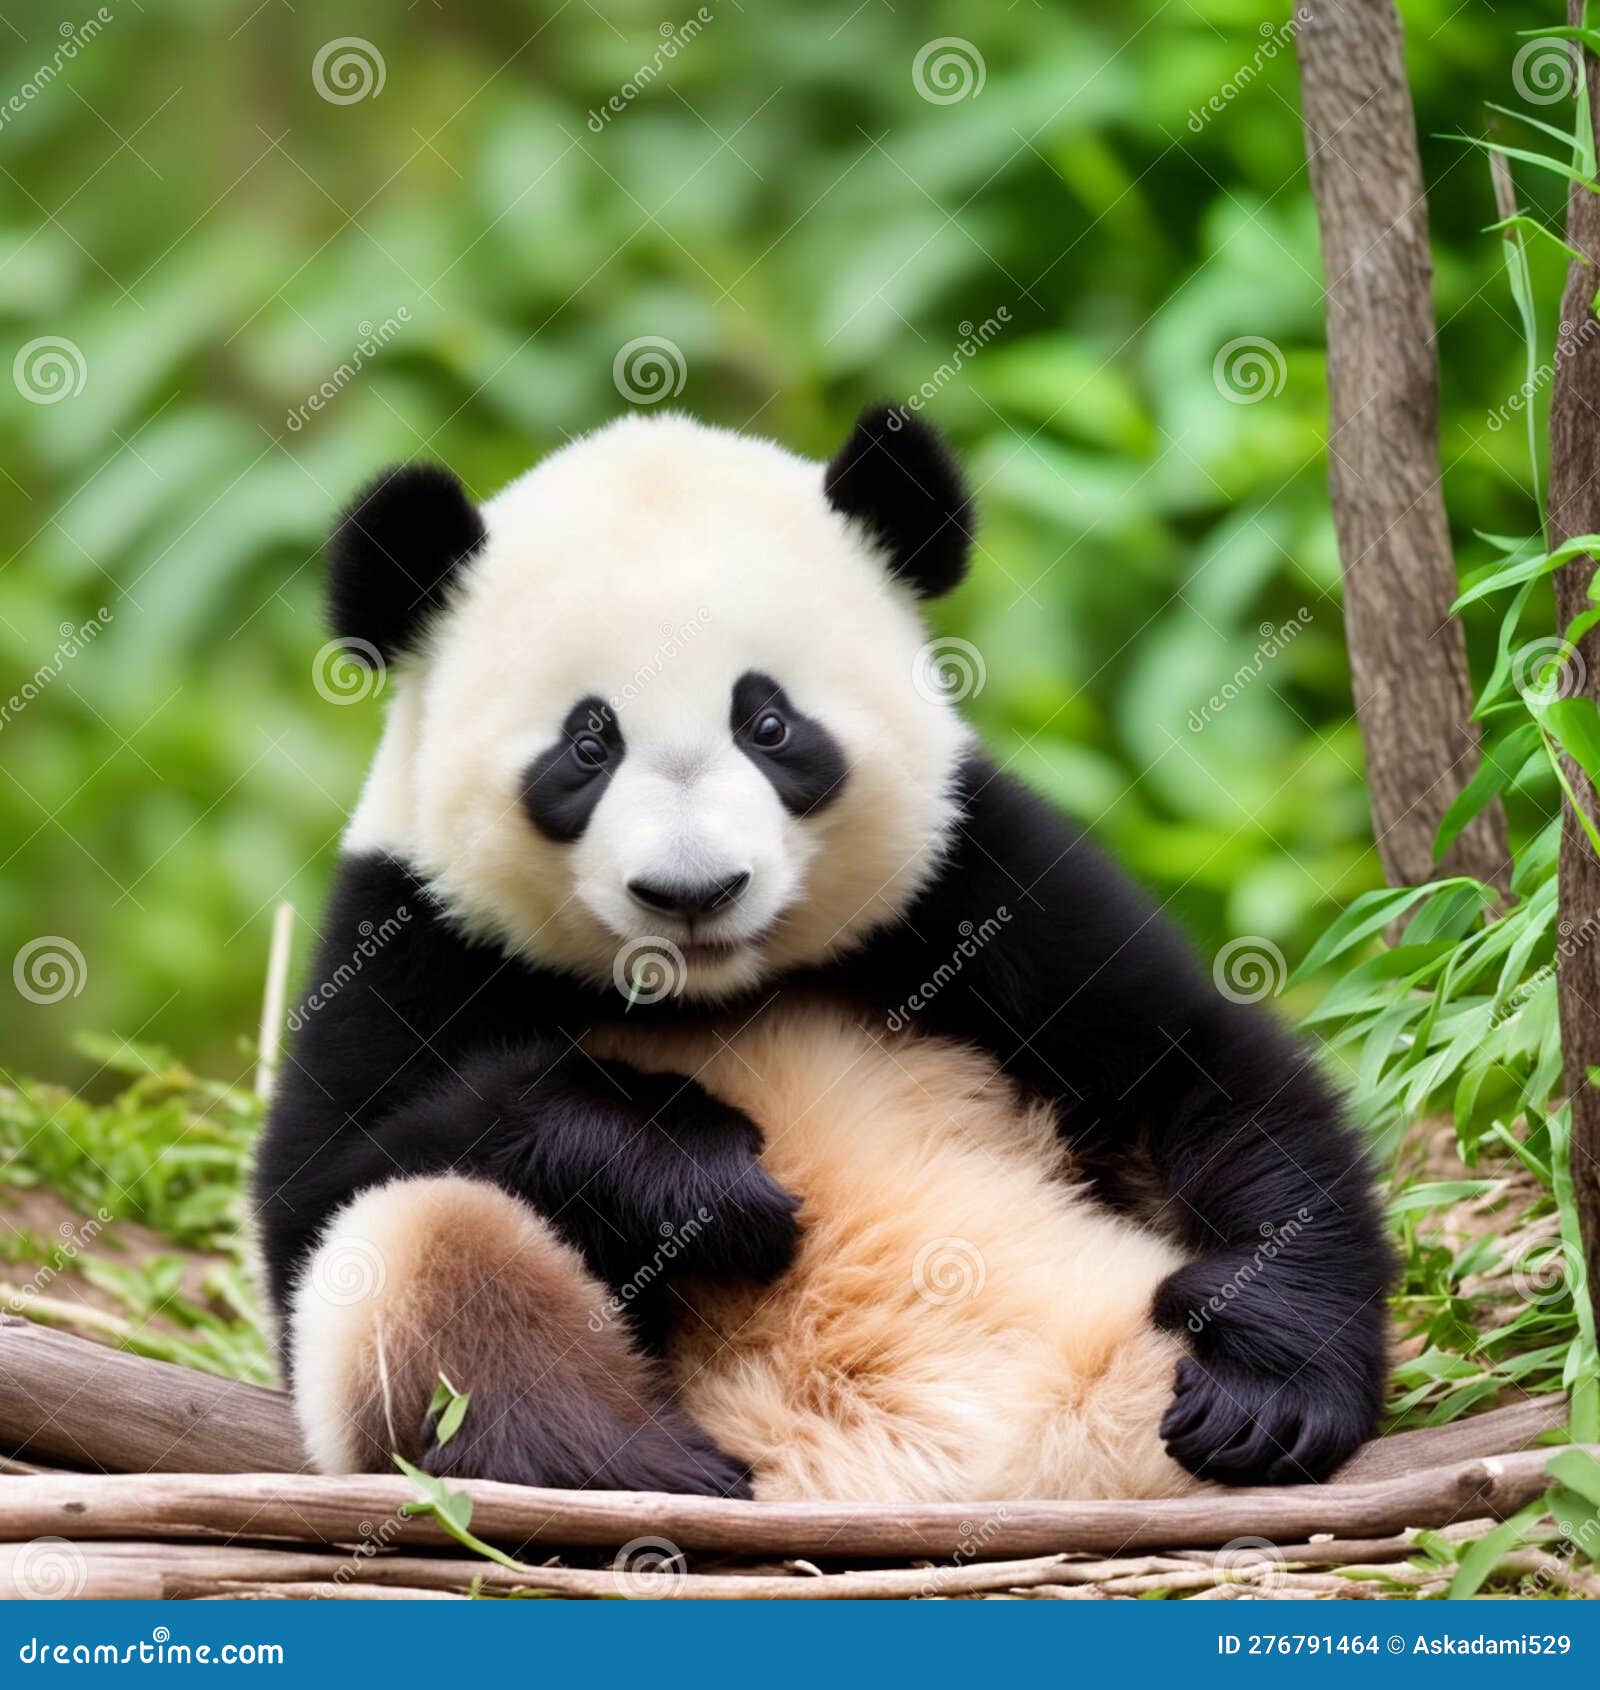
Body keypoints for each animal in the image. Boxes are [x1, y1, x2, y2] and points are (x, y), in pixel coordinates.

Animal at [253, 405, 1389, 1504]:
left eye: (768, 723)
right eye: (588, 745)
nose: (694, 891)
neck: (711, 990)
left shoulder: (975, 869)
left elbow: (1195, 1070)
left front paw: (1267, 1392)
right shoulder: (409, 927)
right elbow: (315, 1188)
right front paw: (697, 1177)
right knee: (420, 1242)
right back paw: (634, 1461)